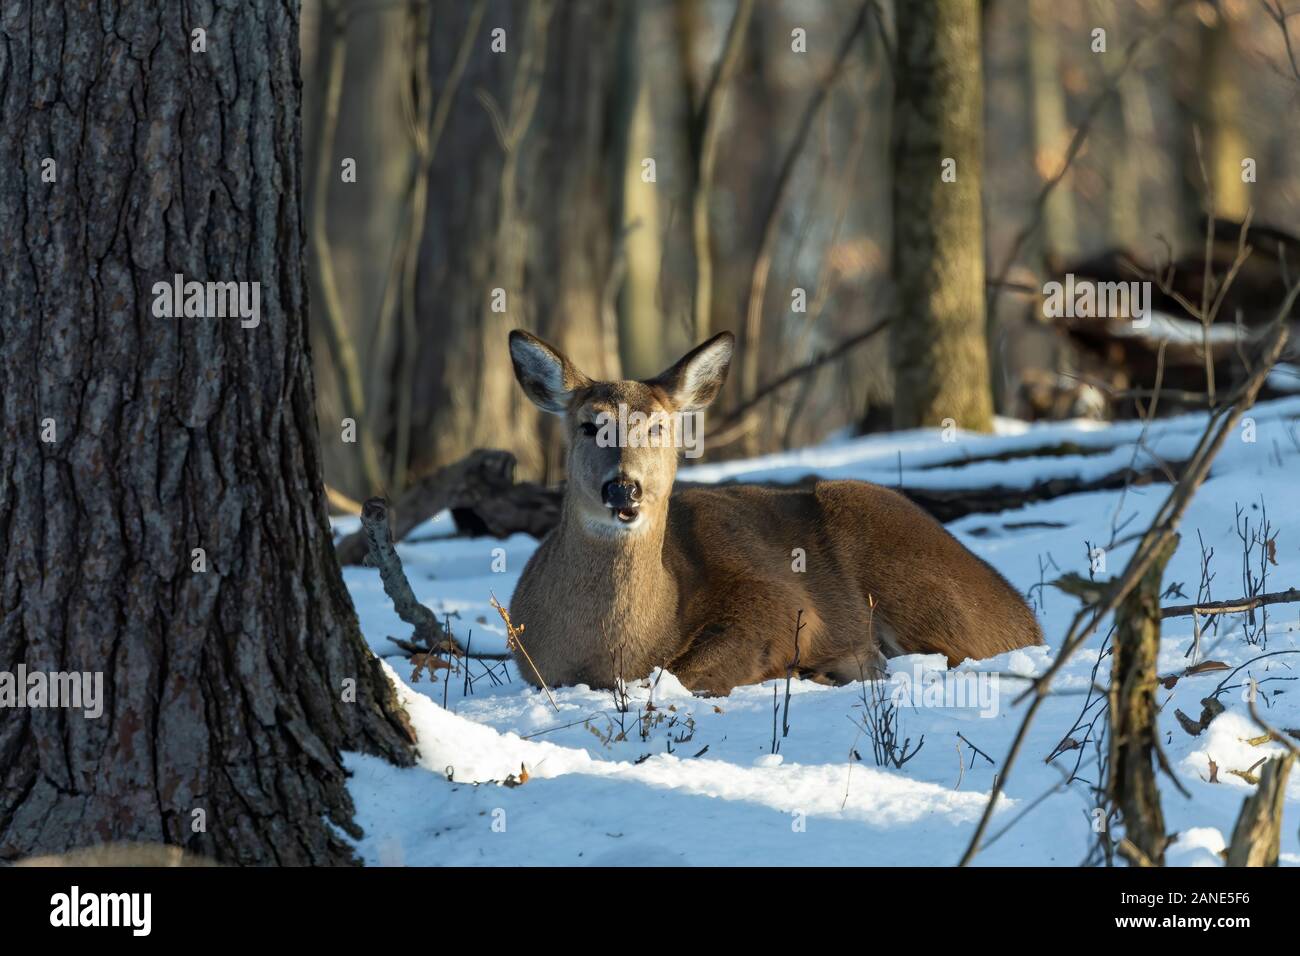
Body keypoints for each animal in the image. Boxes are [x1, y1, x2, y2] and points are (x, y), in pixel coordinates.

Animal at [506, 329, 1043, 696]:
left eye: (658, 426)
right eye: (588, 424)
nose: (624, 489)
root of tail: (1024, 616)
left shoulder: (778, 600)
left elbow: (687, 672)